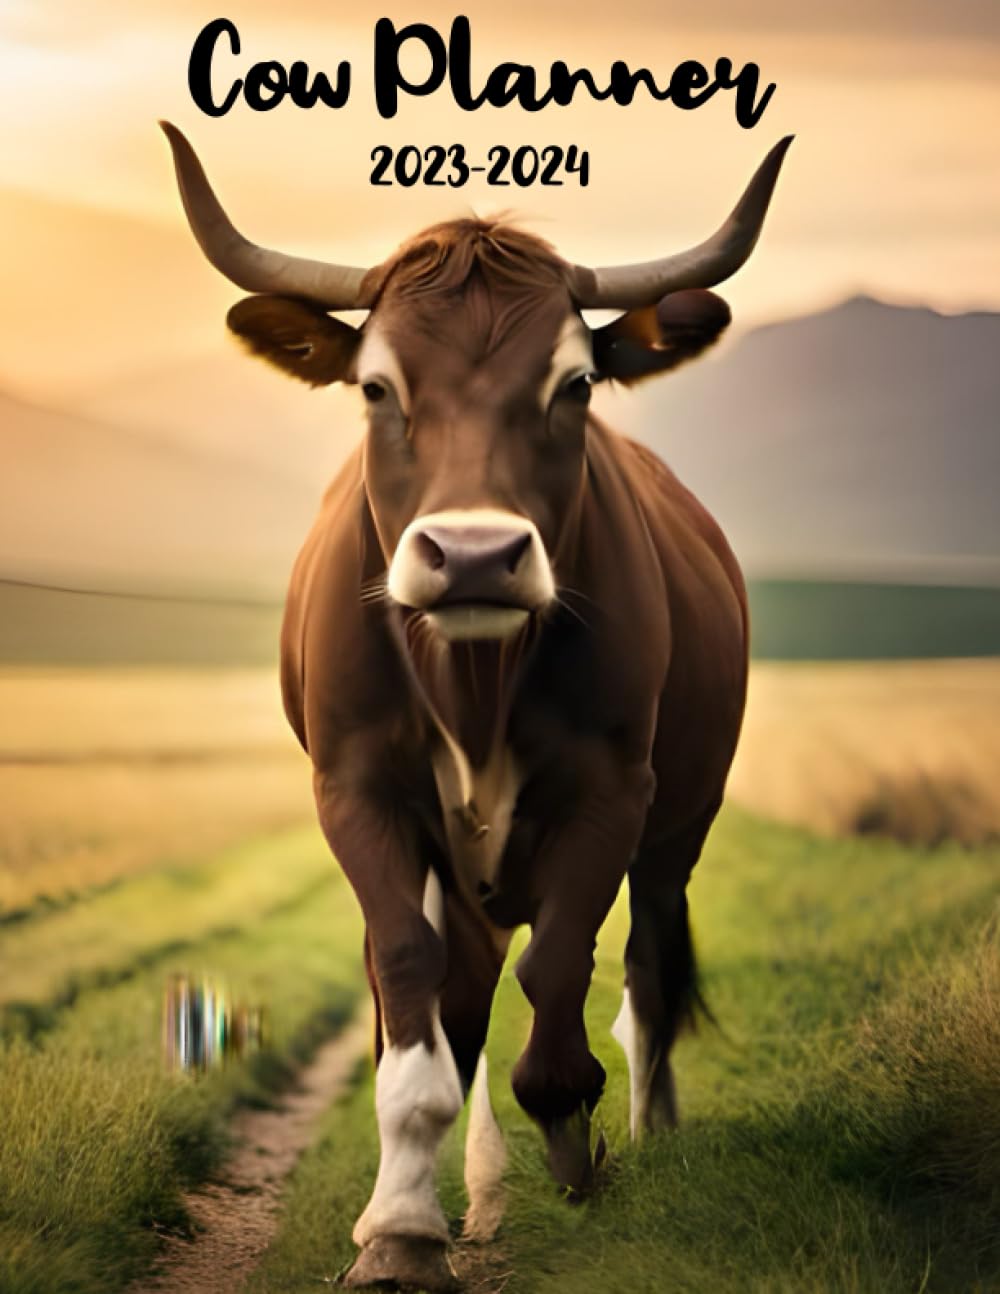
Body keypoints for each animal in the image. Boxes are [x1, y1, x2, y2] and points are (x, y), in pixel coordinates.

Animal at [162, 122, 790, 1292]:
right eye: (375, 388)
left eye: (576, 383)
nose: (474, 555)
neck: (475, 678)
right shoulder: (357, 792)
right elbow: (408, 975)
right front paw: (402, 1227)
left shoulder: (614, 792)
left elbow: (565, 963)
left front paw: (577, 1149)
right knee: (453, 990)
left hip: (683, 818)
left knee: (644, 965)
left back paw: (648, 1132)